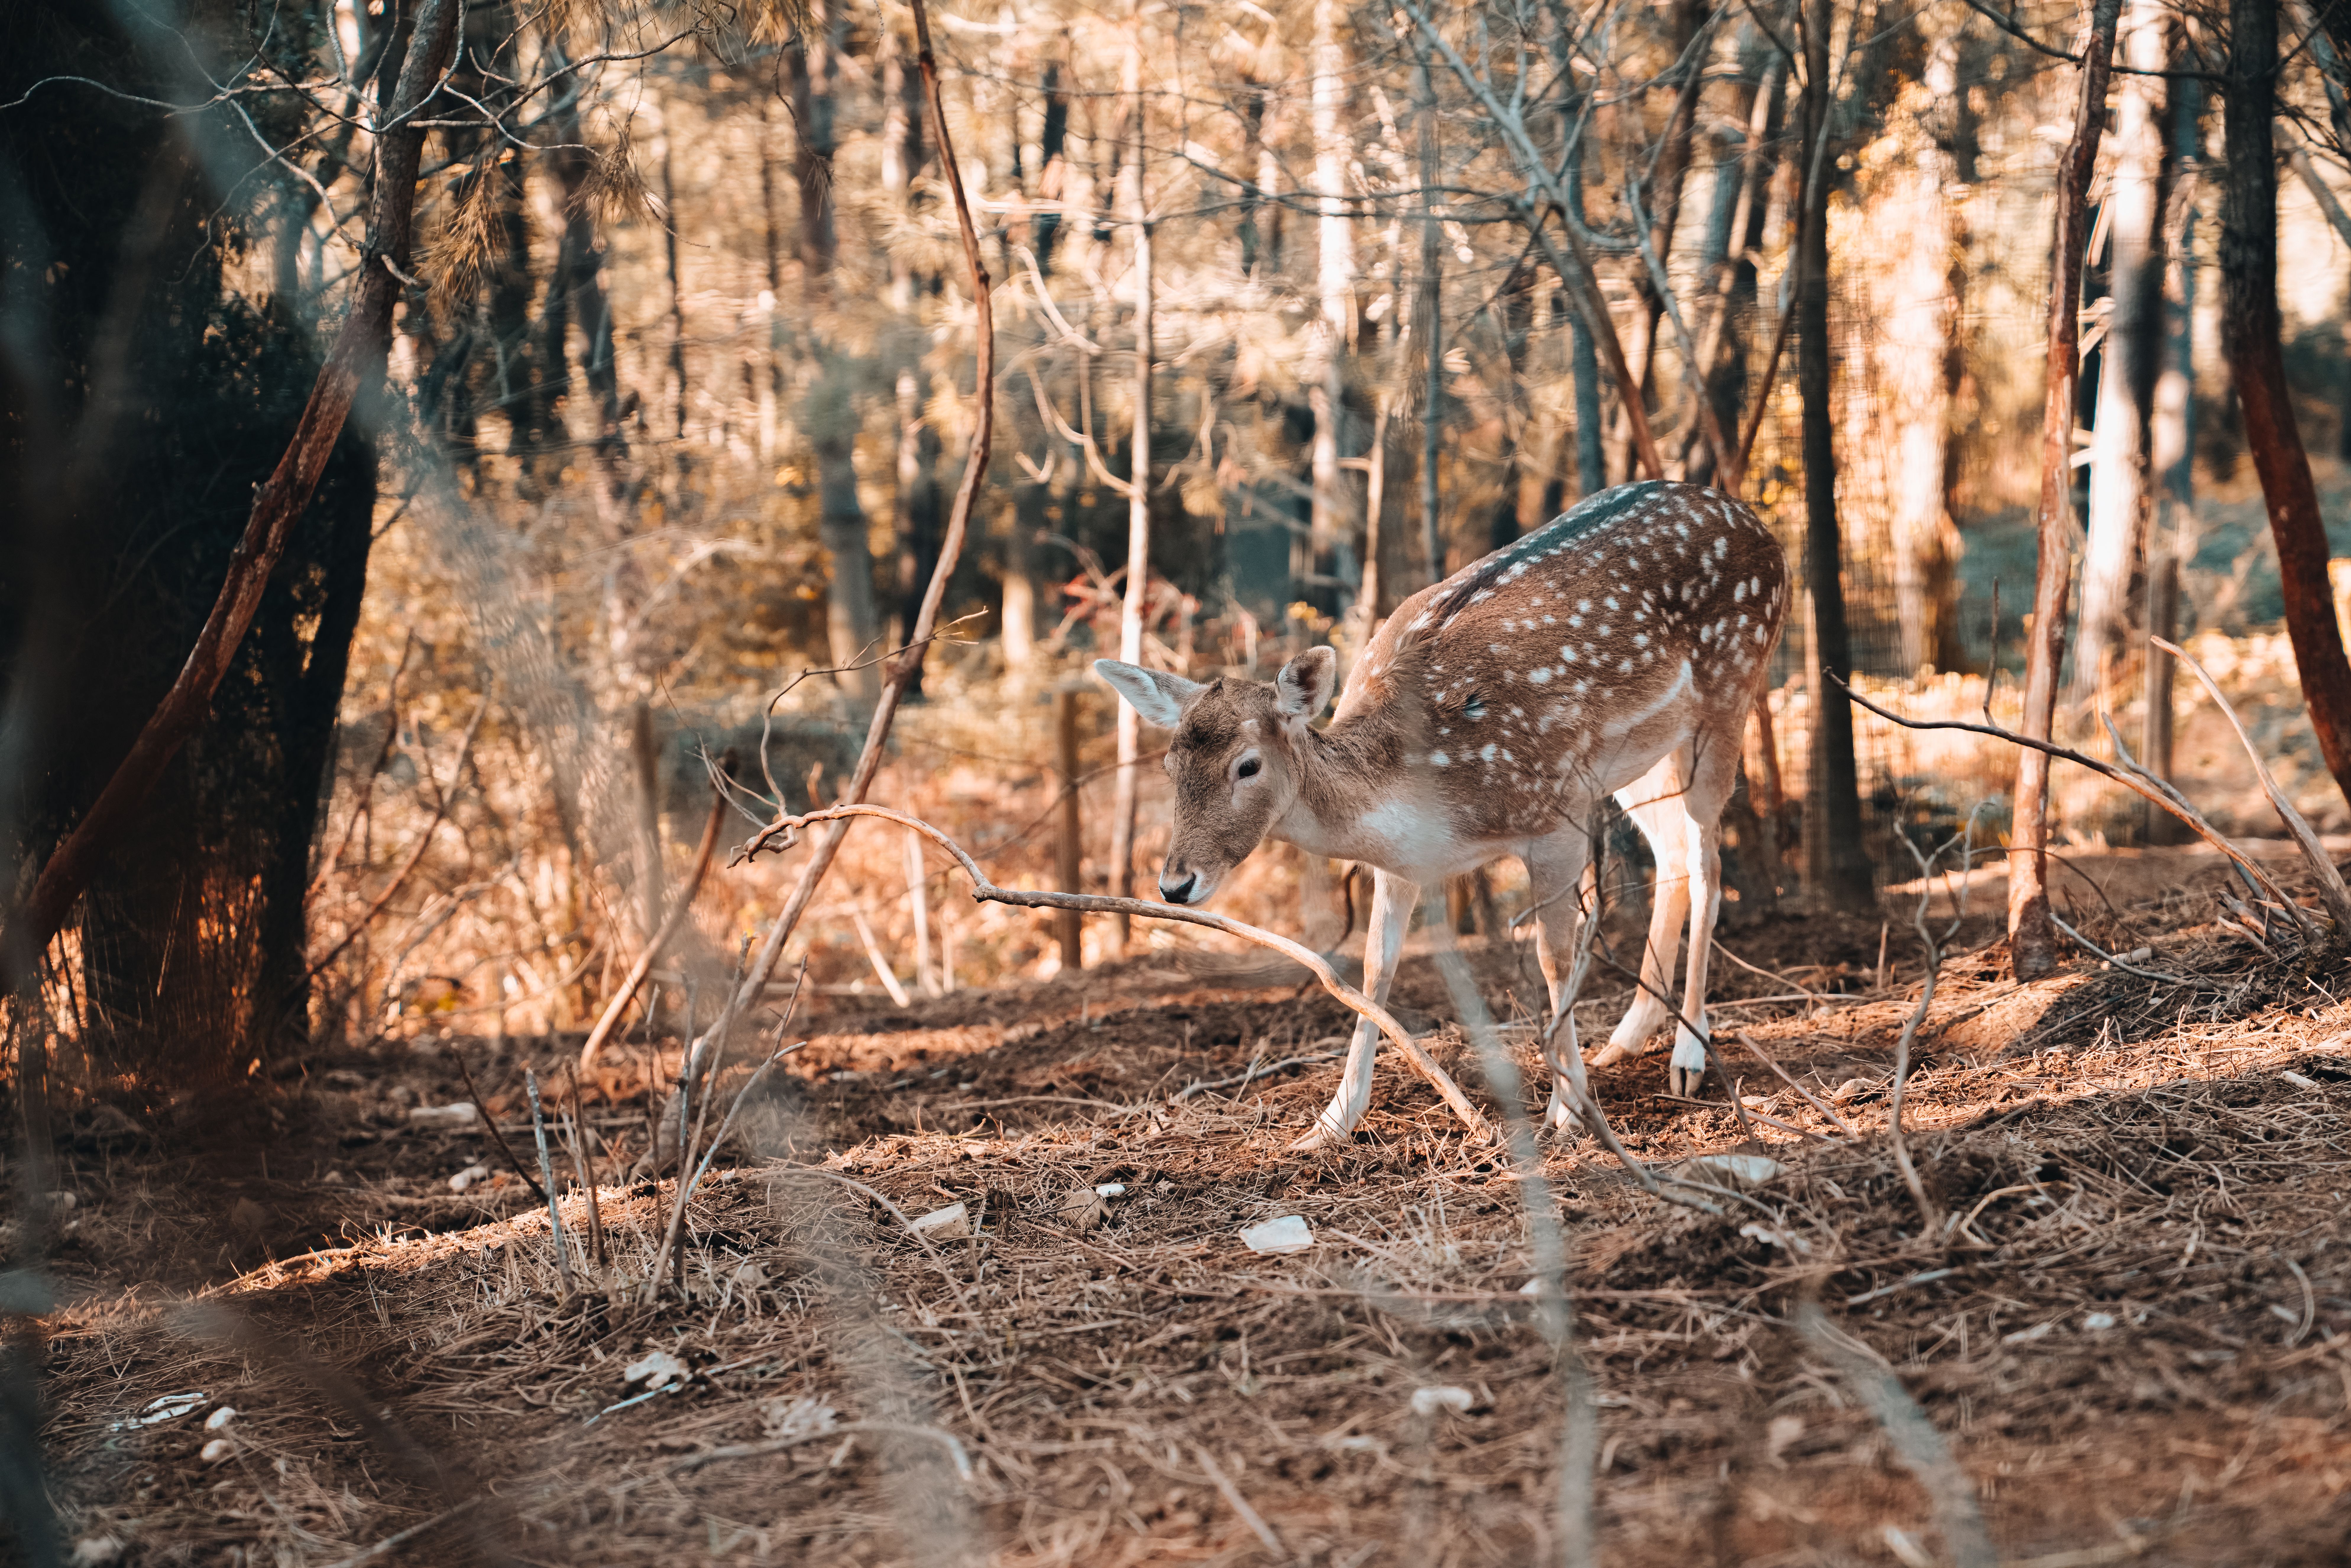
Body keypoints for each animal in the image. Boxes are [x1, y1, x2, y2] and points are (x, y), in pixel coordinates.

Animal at [1096, 480, 1789, 1146]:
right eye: (1170, 766)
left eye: (1247, 766)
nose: (1174, 884)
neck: (1429, 802)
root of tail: (1759, 525)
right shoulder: (1402, 865)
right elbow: (1374, 969)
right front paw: (1329, 1124)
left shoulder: (1556, 814)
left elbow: (1553, 958)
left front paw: (1568, 1114)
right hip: (1642, 757)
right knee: (1673, 855)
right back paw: (1625, 1039)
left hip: (1729, 691)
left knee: (1707, 863)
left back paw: (1688, 1057)